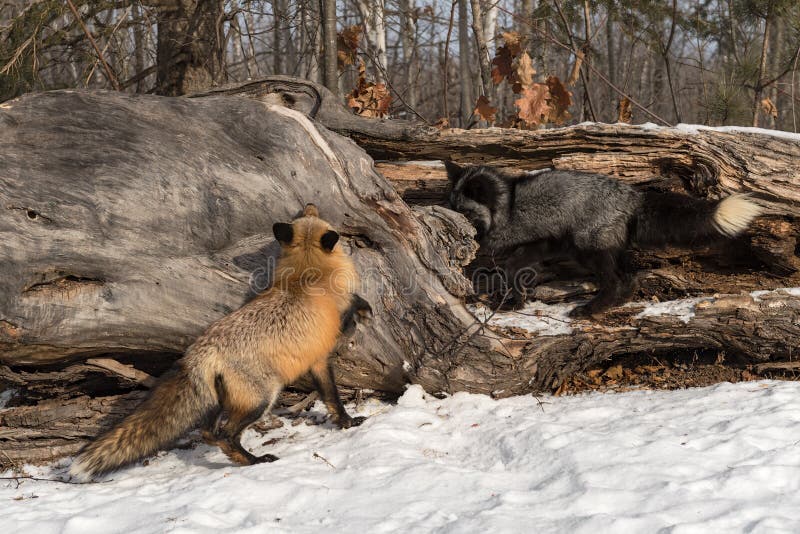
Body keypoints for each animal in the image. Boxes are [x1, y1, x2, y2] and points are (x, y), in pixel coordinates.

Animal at [70, 204, 371, 480]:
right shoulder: (322, 355)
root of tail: (201, 351)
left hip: (222, 400)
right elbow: (332, 396)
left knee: (208, 432)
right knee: (225, 434)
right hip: (261, 398)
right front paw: (348, 422)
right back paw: (254, 460)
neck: (306, 272)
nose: (309, 205)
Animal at [445, 162, 763, 317]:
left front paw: (513, 302)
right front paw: (517, 300)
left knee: (615, 281)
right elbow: (514, 269)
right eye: (451, 204)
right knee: (630, 278)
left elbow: (511, 268)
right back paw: (617, 303)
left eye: (463, 210)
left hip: (589, 249)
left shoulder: (540, 241)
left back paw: (591, 309)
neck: (508, 205)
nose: (448, 219)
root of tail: (634, 196)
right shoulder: (543, 243)